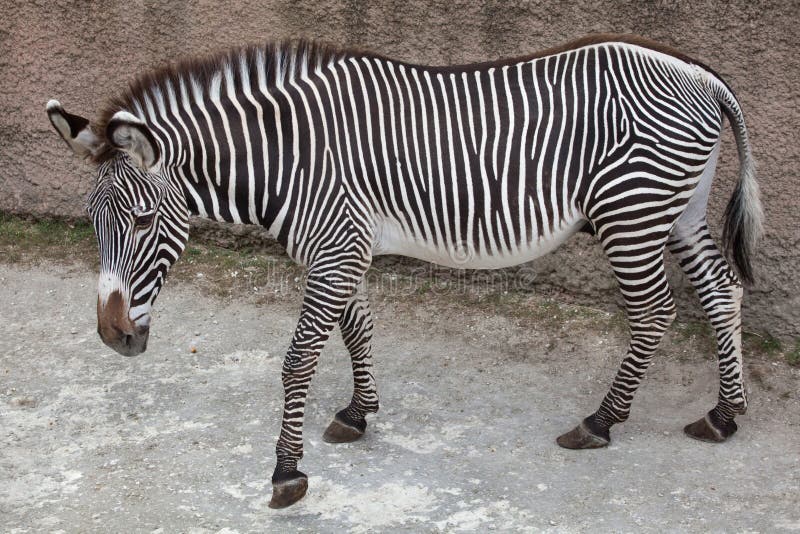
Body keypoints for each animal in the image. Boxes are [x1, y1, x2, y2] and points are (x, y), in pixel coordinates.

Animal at [46, 34, 761, 508]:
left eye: (143, 222)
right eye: (92, 223)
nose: (112, 337)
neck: (288, 159)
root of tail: (702, 75)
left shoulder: (335, 247)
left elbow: (299, 359)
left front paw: (286, 472)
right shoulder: (343, 247)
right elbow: (356, 329)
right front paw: (358, 413)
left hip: (632, 213)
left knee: (656, 311)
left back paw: (601, 422)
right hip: (678, 208)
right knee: (722, 291)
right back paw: (724, 415)